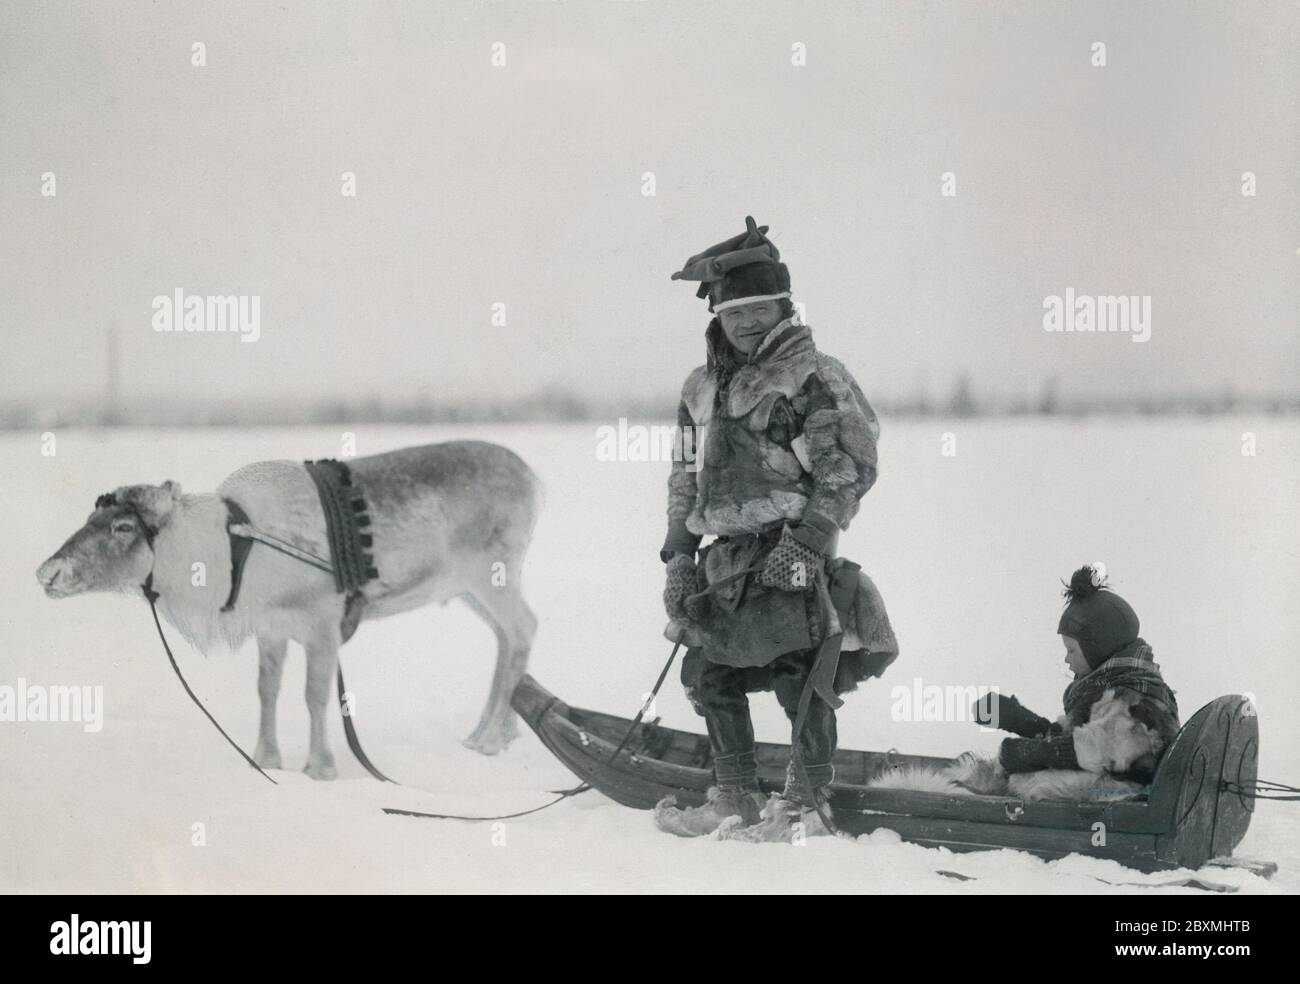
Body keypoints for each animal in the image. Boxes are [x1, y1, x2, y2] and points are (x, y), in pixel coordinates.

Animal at [35, 440, 541, 779]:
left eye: (123, 526)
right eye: (90, 518)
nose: (47, 572)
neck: (223, 554)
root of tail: (536, 480)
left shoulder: (322, 624)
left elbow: (315, 695)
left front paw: (321, 767)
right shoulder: (271, 628)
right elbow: (268, 690)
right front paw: (266, 759)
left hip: (491, 574)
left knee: (524, 627)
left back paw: (491, 739)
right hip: (472, 589)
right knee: (504, 637)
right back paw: (489, 735)